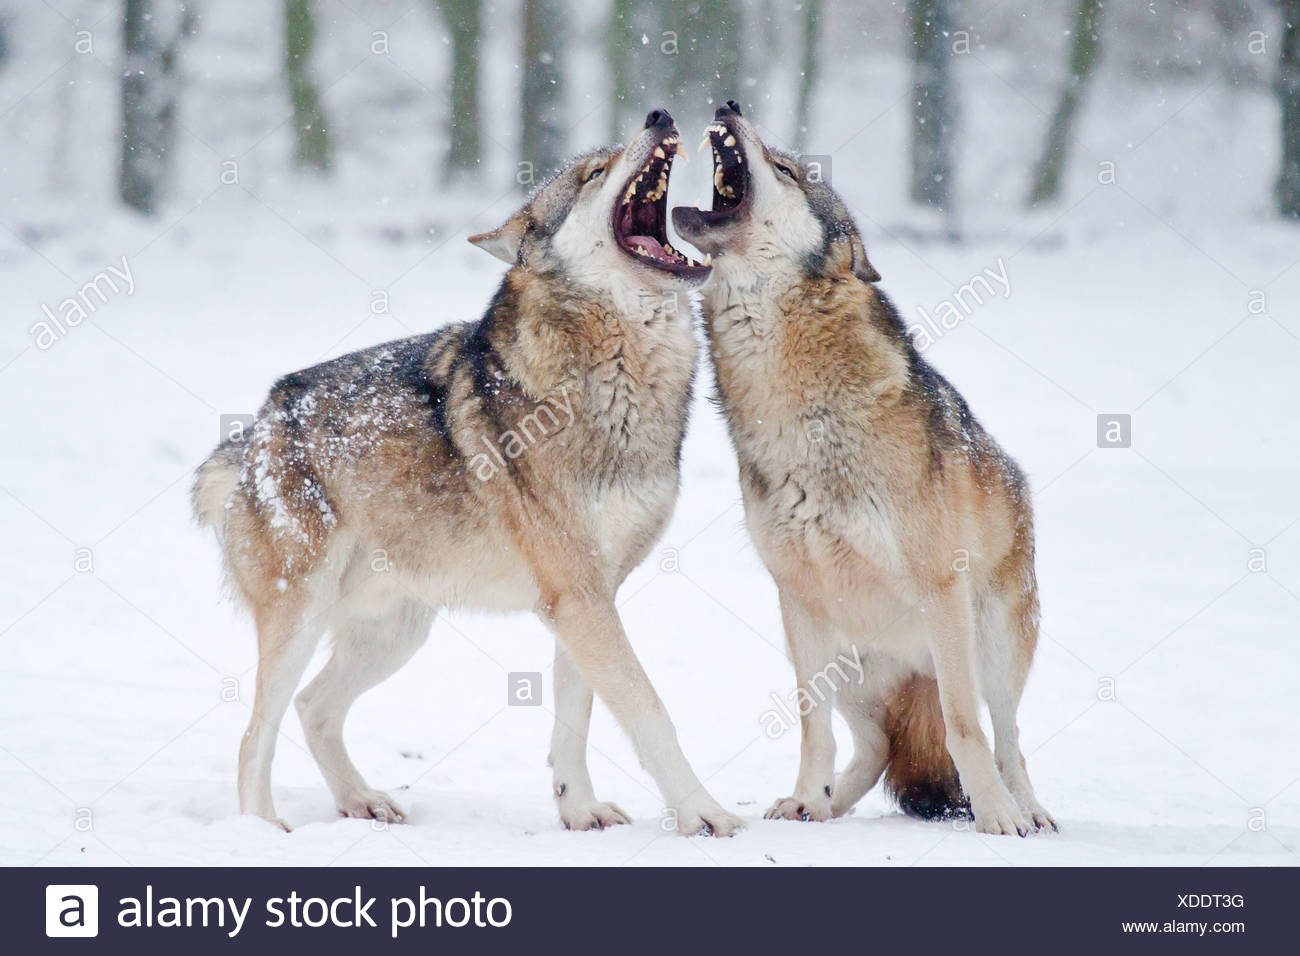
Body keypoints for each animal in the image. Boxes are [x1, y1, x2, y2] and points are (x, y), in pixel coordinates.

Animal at [193, 109, 744, 837]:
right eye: (593, 173)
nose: (658, 115)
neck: (623, 377)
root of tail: (258, 424)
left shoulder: (586, 598)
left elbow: (576, 715)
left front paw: (580, 809)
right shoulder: (580, 595)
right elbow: (648, 711)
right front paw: (705, 814)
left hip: (397, 634)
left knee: (314, 709)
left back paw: (361, 801)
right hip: (302, 618)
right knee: (256, 734)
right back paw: (263, 830)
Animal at [672, 103, 1055, 835]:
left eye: (789, 169)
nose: (729, 105)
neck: (797, 405)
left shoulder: (941, 591)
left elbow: (966, 729)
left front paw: (996, 816)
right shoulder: (797, 599)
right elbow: (810, 728)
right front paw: (804, 797)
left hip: (992, 642)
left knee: (1009, 737)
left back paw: (1029, 811)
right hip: (849, 658)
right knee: (877, 747)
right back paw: (823, 806)